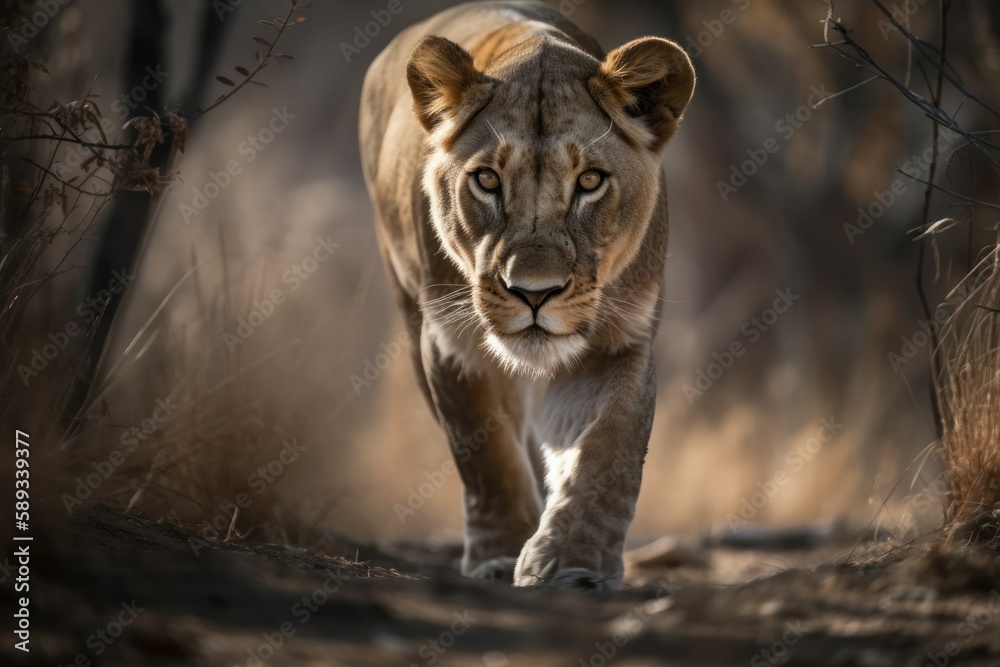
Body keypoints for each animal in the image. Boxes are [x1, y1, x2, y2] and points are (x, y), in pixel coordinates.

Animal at [359, 0, 695, 591]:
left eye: (590, 181)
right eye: (488, 180)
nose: (534, 293)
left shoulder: (619, 341)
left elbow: (611, 447)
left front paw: (573, 563)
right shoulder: (452, 340)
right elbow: (484, 452)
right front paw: (499, 554)